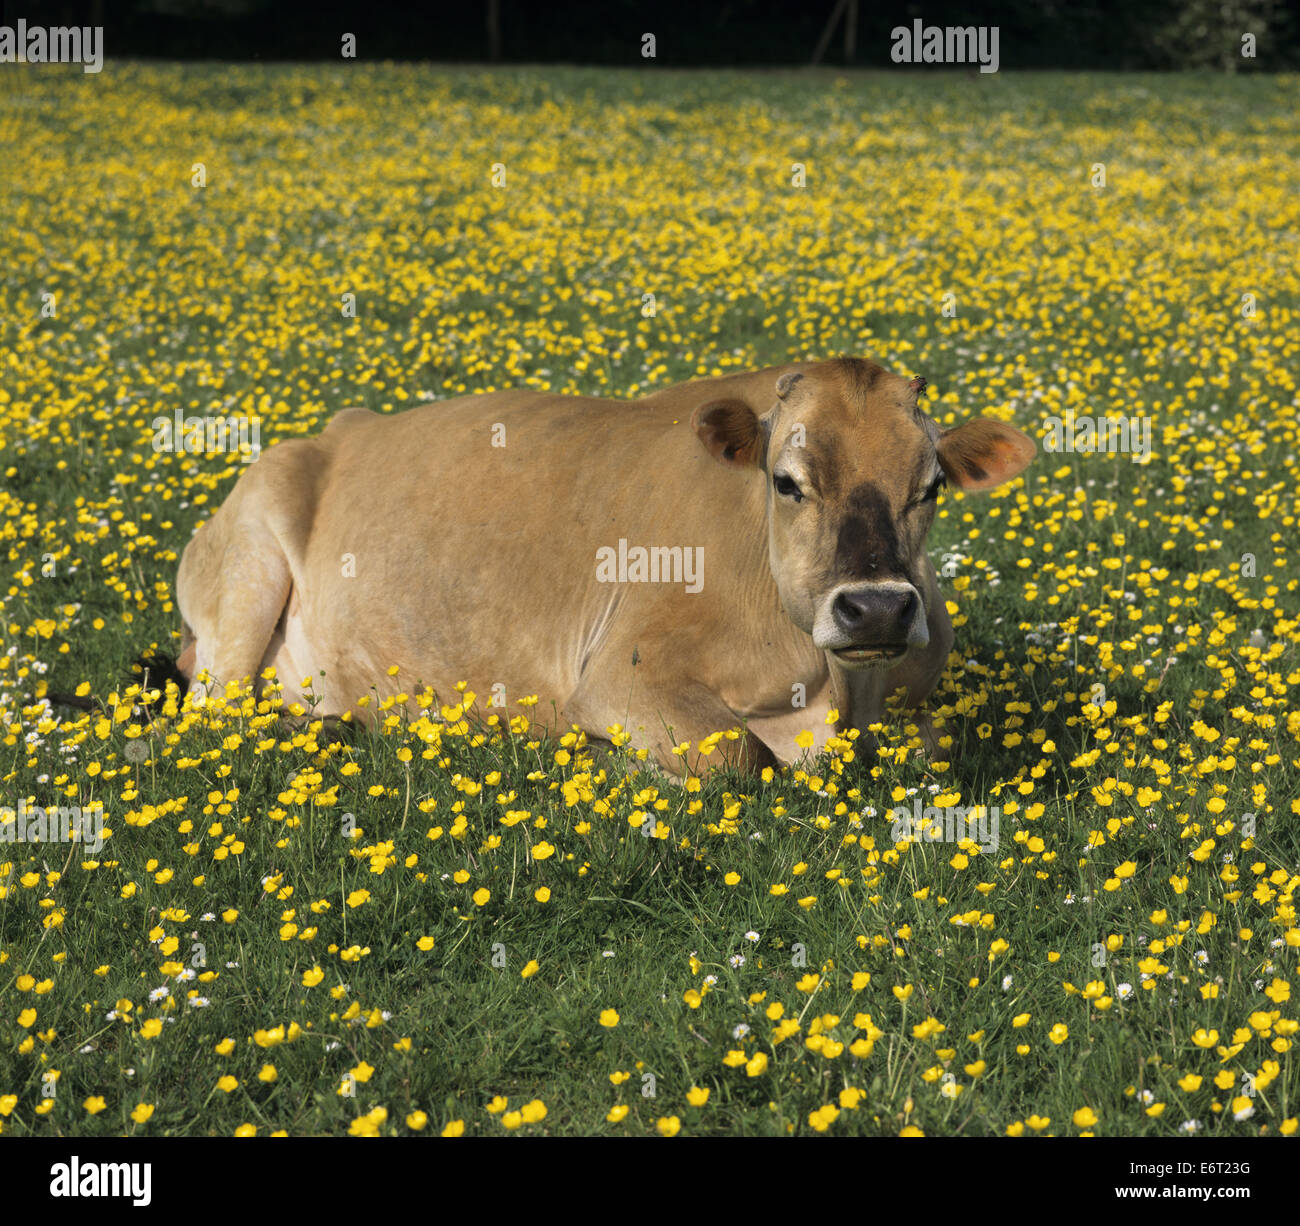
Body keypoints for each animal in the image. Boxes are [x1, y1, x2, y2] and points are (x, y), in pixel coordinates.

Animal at [174, 358, 1035, 775]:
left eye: (931, 485)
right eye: (787, 481)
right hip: (248, 564)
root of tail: (337, 429)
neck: (834, 691)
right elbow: (735, 755)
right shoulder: (623, 672)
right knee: (213, 714)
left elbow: (929, 746)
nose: (878, 607)